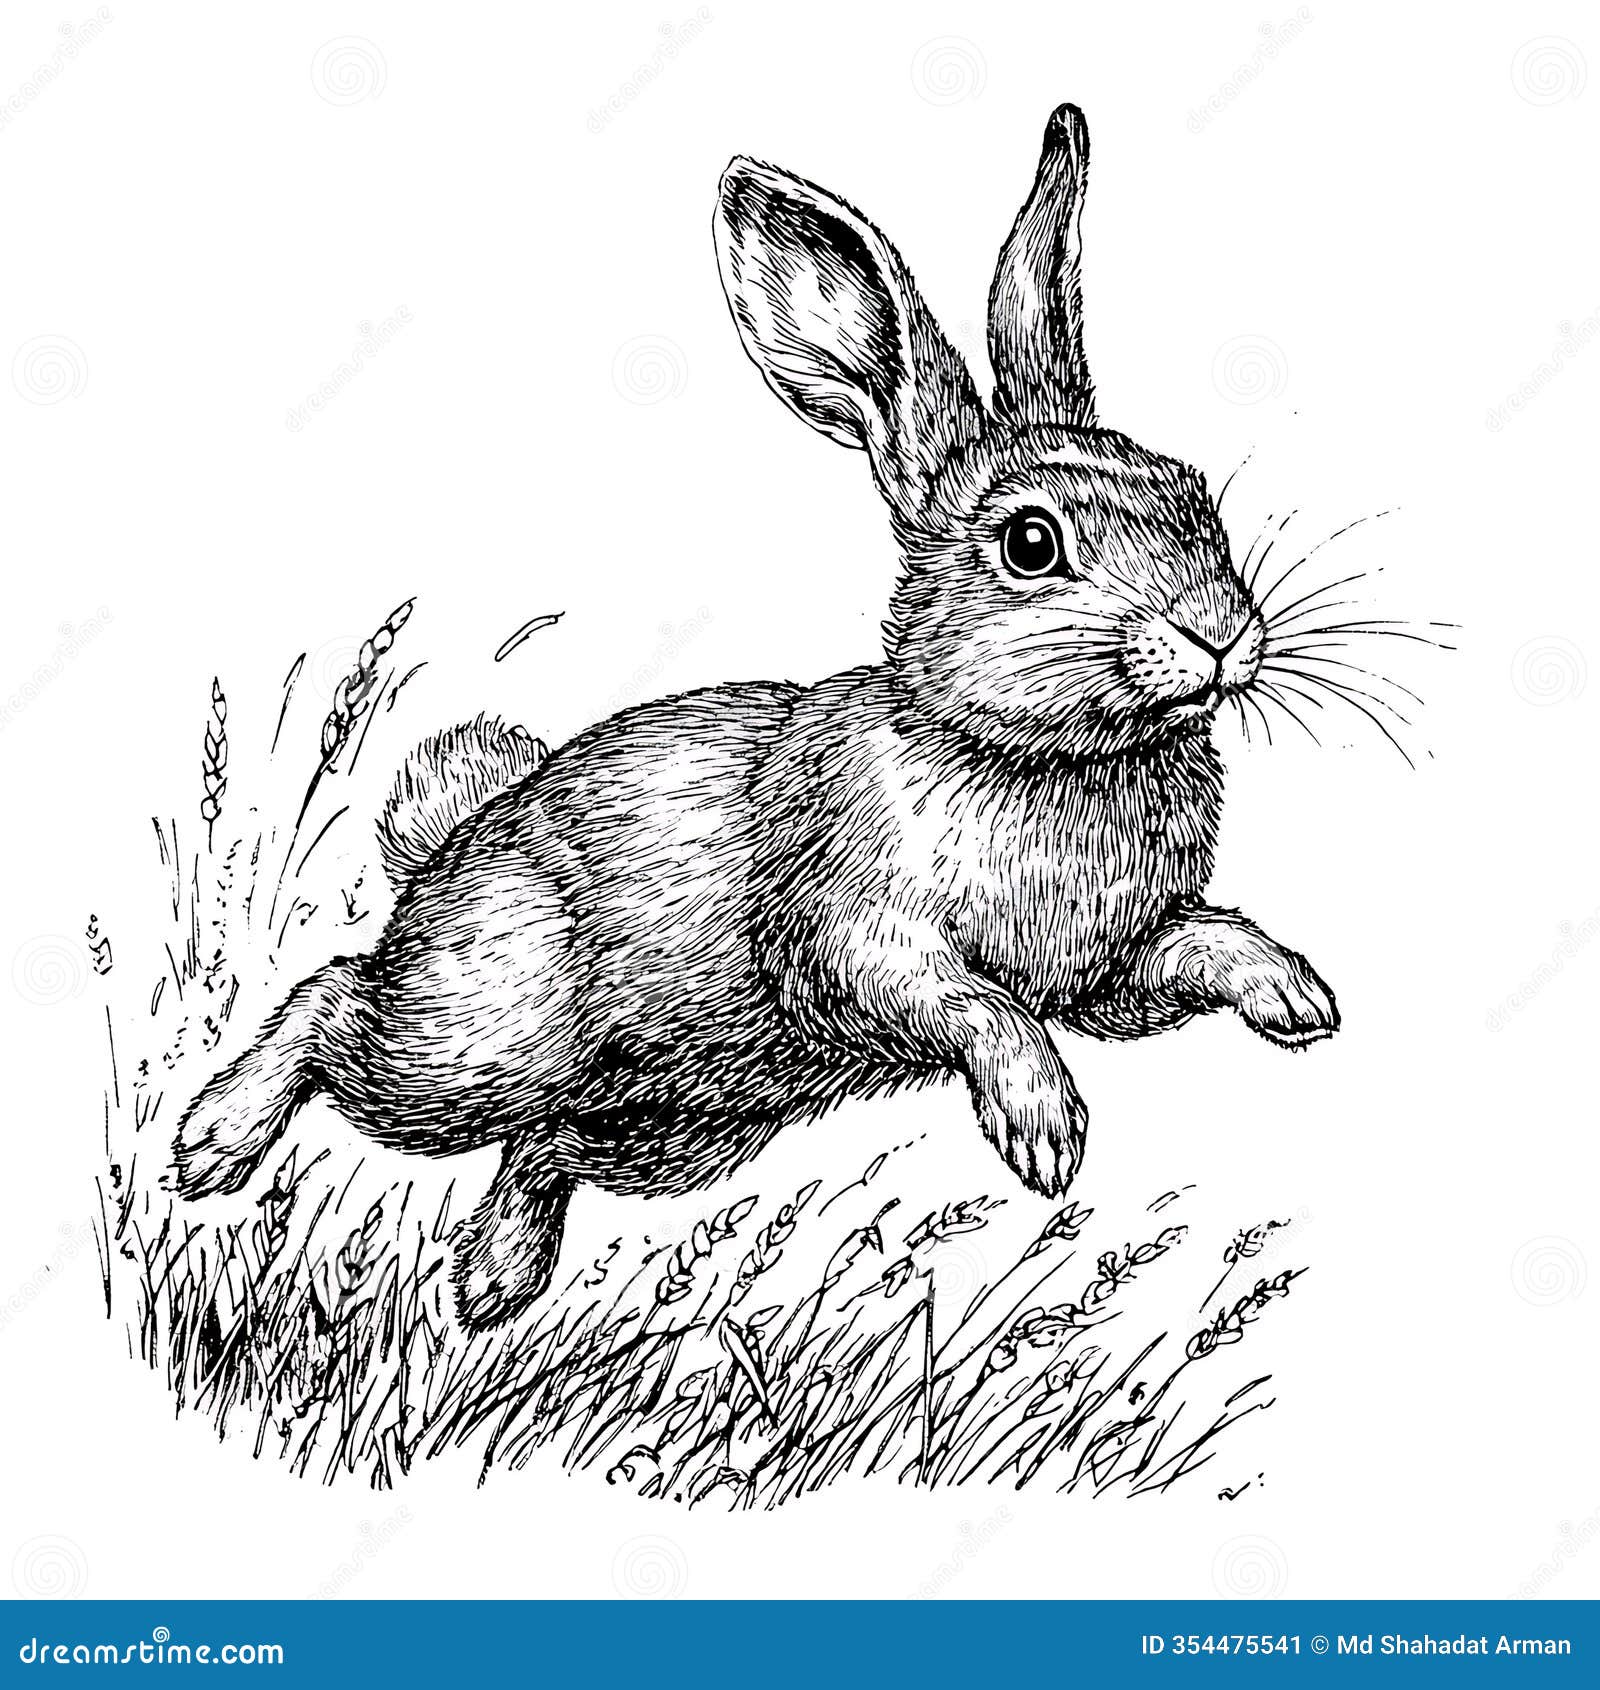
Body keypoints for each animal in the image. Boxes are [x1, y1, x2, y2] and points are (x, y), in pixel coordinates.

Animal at [173, 104, 1338, 1329]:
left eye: (1195, 494)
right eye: (1031, 544)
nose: (1220, 634)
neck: (1033, 755)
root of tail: (444, 847)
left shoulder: (1111, 969)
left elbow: (1197, 945)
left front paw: (1296, 997)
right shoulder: (856, 942)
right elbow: (970, 1003)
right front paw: (1043, 1128)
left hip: (668, 1131)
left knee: (541, 1144)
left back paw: (493, 1280)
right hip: (470, 1044)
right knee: (336, 1005)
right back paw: (213, 1146)